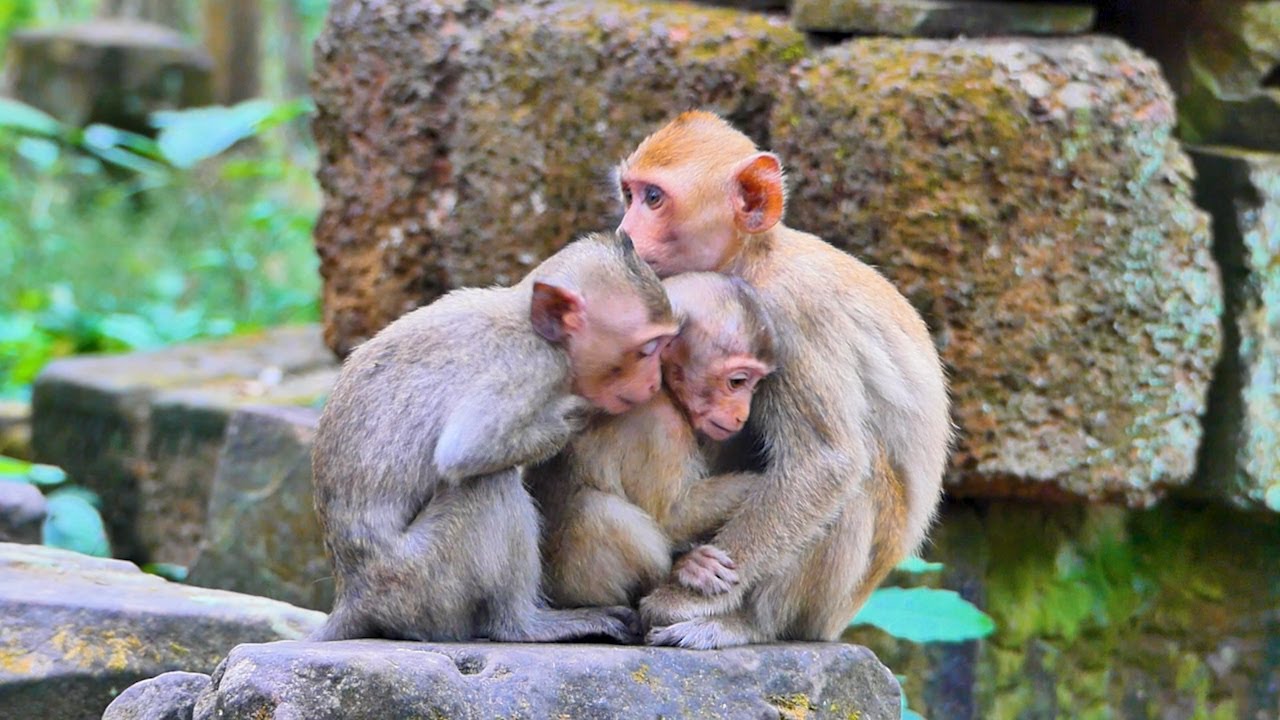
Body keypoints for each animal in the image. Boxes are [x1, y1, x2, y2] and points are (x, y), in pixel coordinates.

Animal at [309, 232, 680, 643]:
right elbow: (467, 450)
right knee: (486, 485)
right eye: (647, 350)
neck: (530, 322)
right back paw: (523, 625)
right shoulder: (529, 367)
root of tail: (354, 596)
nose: (654, 383)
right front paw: (575, 413)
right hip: (421, 585)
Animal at [530, 272, 778, 610]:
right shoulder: (660, 424)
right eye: (737, 381)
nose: (742, 415)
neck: (665, 388)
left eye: (755, 385)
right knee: (599, 511)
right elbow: (672, 515)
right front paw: (760, 481)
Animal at [614, 111, 952, 649]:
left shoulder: (792, 316)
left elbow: (825, 463)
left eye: (654, 198)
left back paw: (746, 624)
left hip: (829, 608)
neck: (752, 261)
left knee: (858, 478)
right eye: (629, 194)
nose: (623, 231)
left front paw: (684, 597)